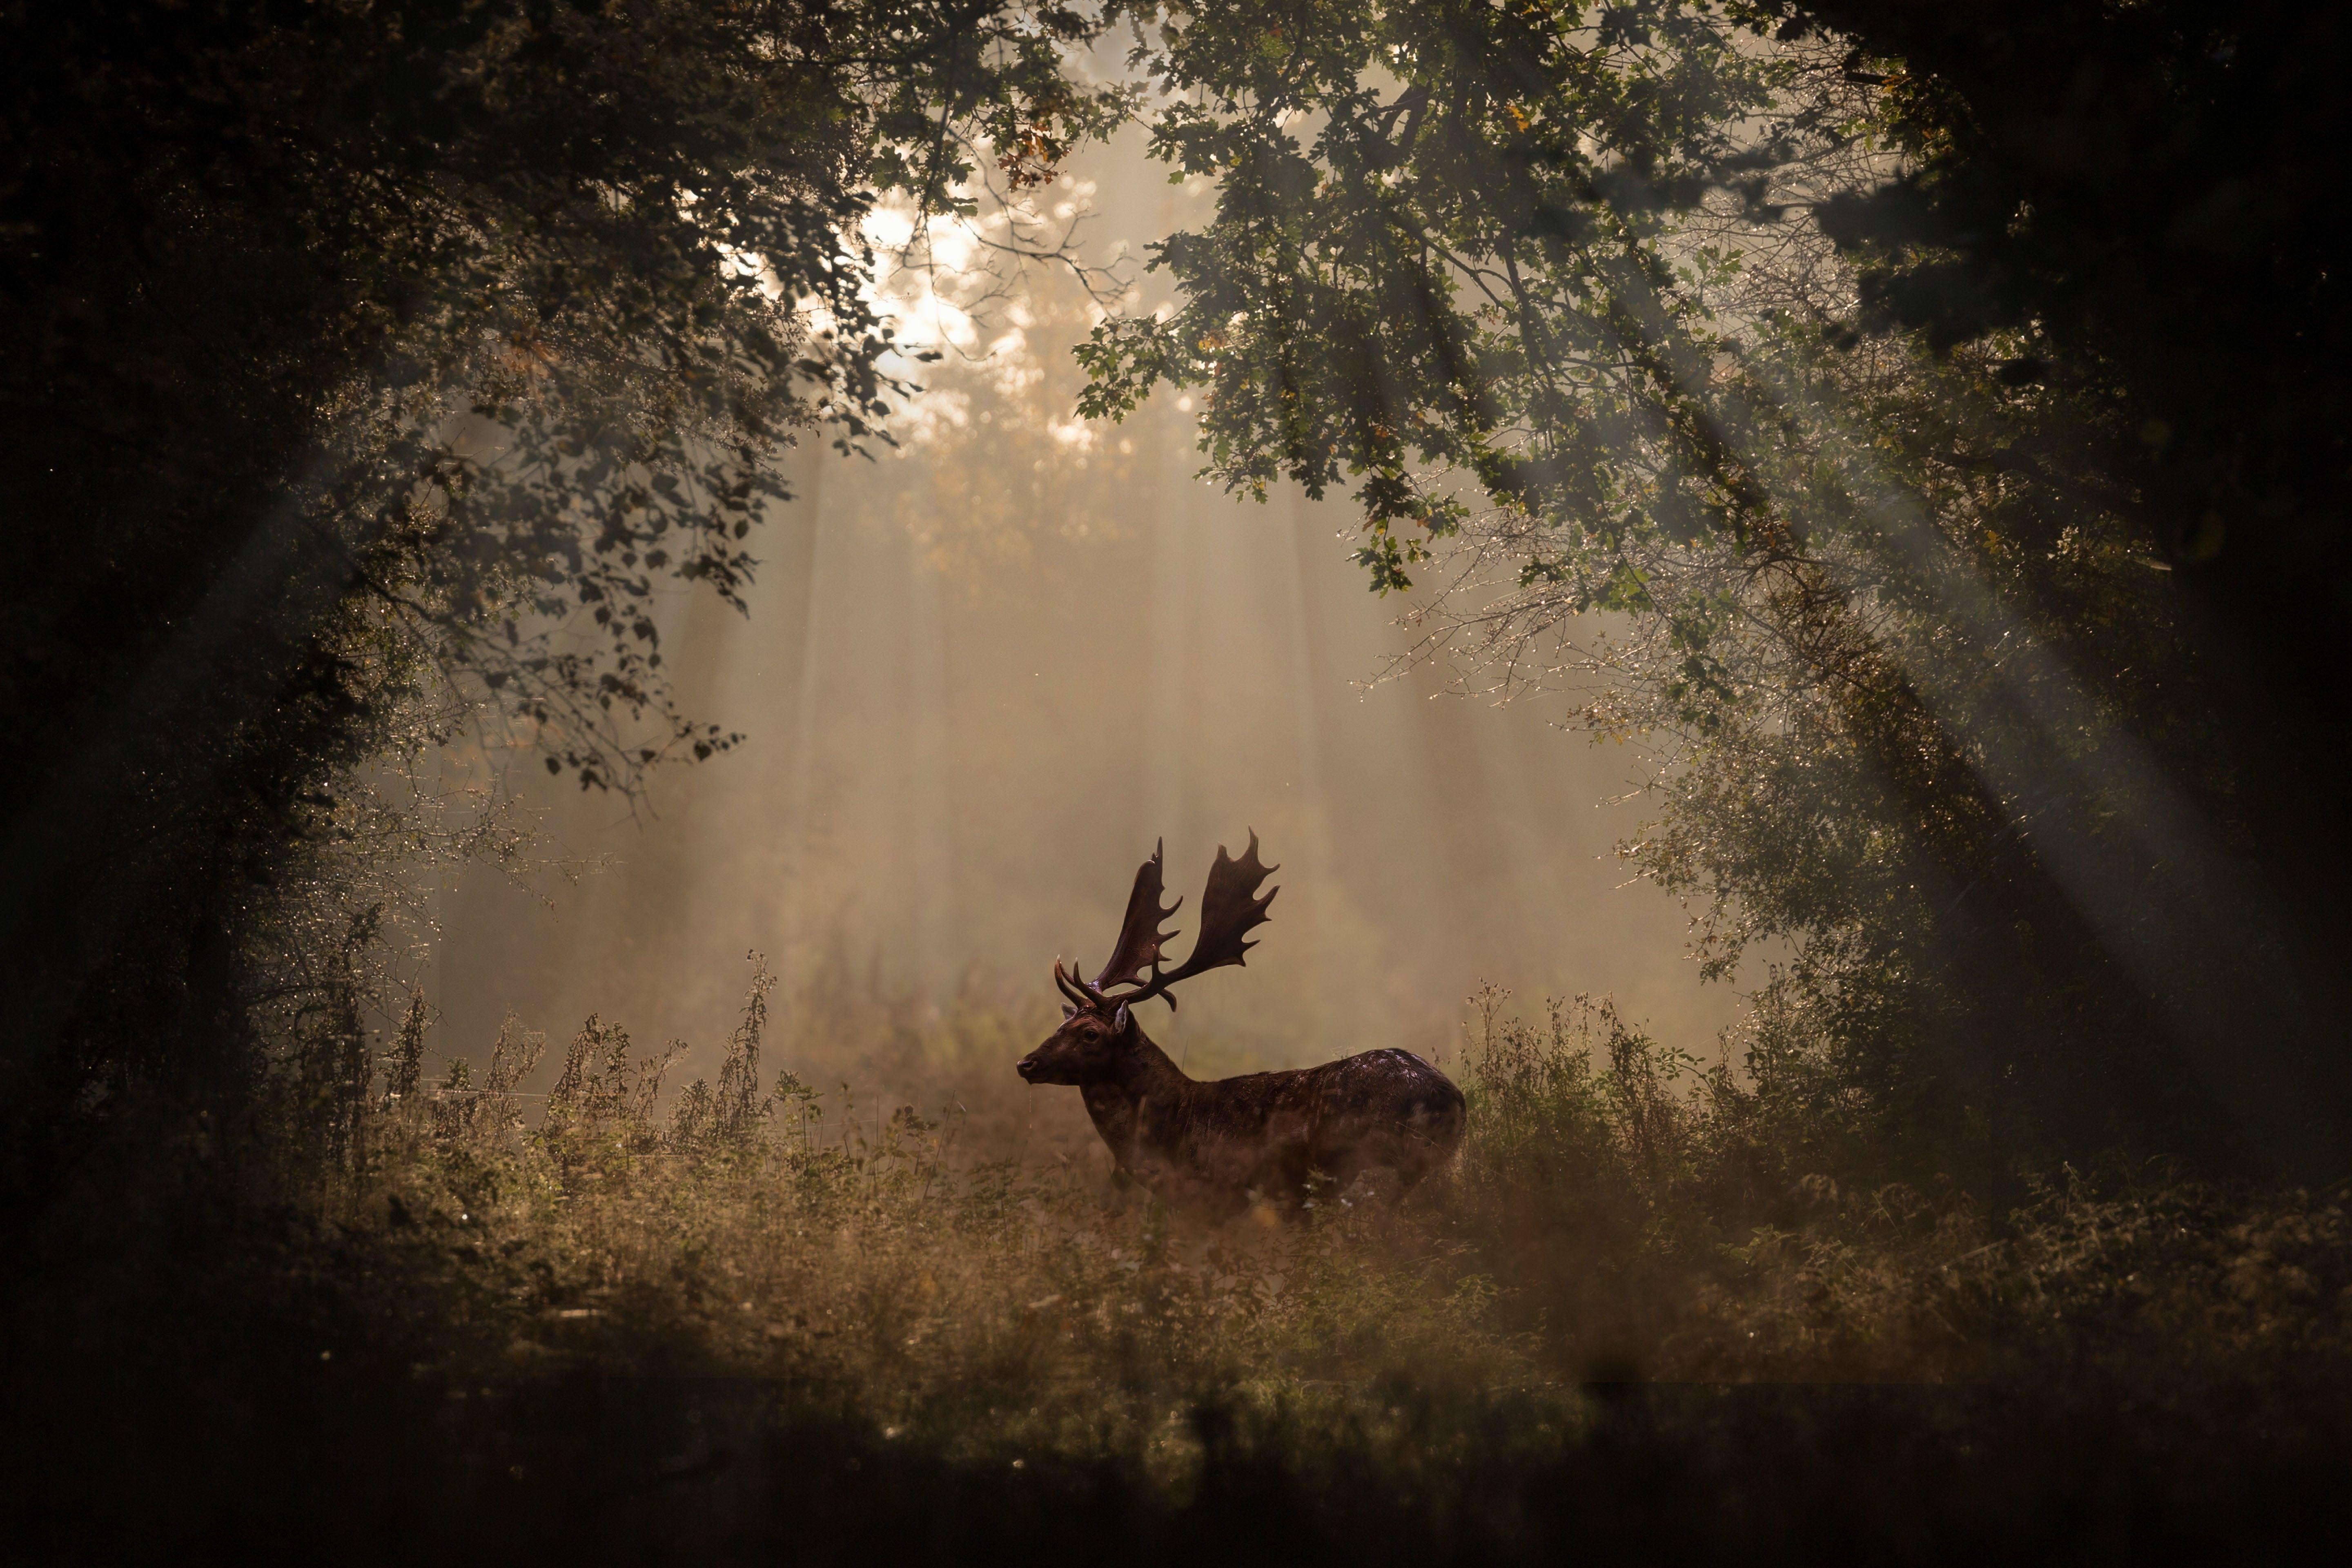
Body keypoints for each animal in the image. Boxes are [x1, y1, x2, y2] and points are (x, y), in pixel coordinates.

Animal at [1015, 834, 1464, 1221]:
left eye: (1090, 1033)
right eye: (1063, 1022)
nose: (1026, 1063)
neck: (1175, 1133)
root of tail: (1452, 1098)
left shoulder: (1223, 1197)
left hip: (1371, 1165)